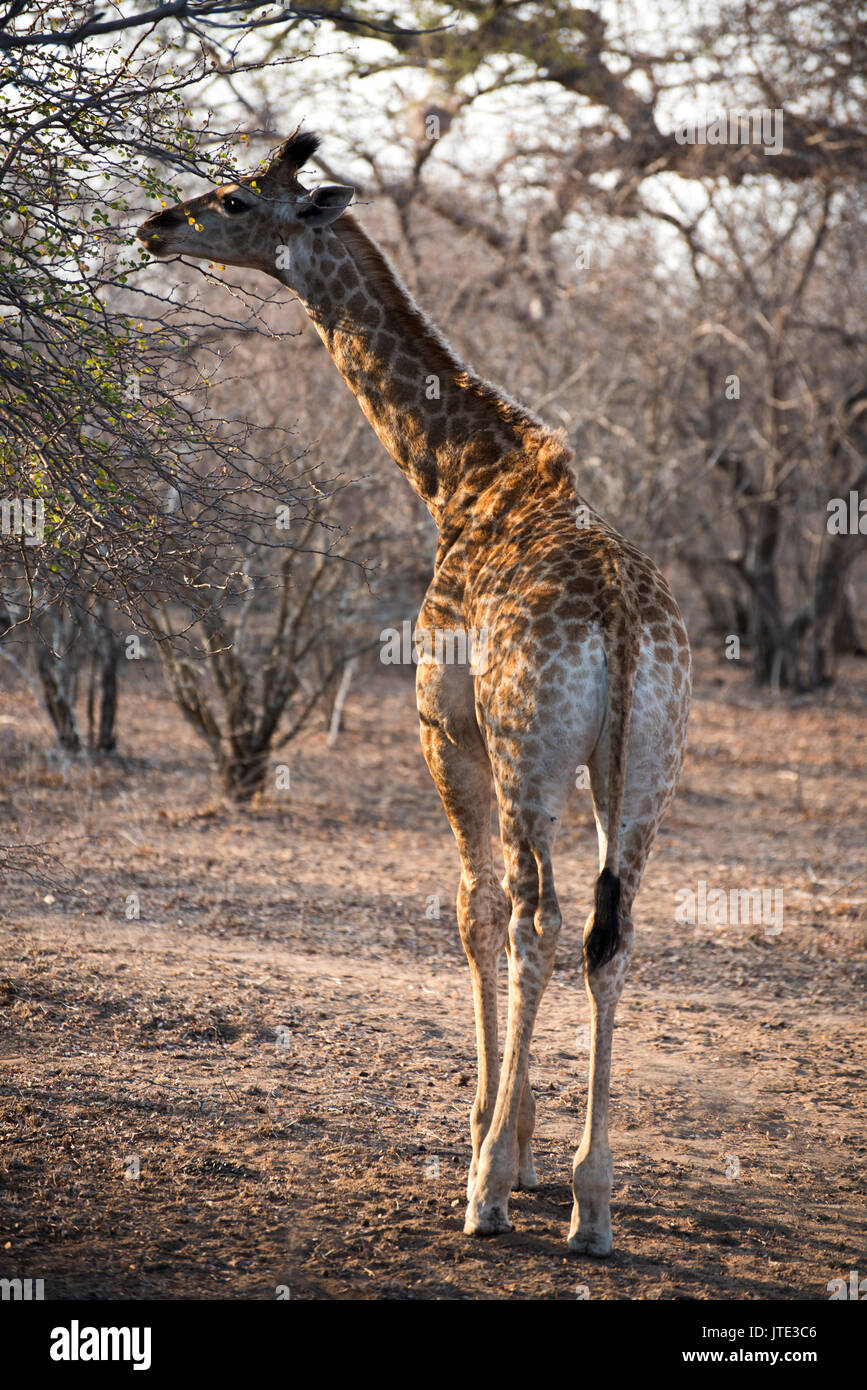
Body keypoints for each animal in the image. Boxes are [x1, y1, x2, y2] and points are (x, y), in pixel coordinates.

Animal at [137, 130, 691, 1255]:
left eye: (235, 199)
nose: (155, 225)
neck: (459, 479)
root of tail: (622, 621)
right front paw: (528, 1152)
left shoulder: (447, 728)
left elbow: (471, 907)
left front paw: (497, 1146)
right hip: (641, 771)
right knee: (610, 933)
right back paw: (594, 1204)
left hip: (527, 752)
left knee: (532, 916)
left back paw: (487, 1193)